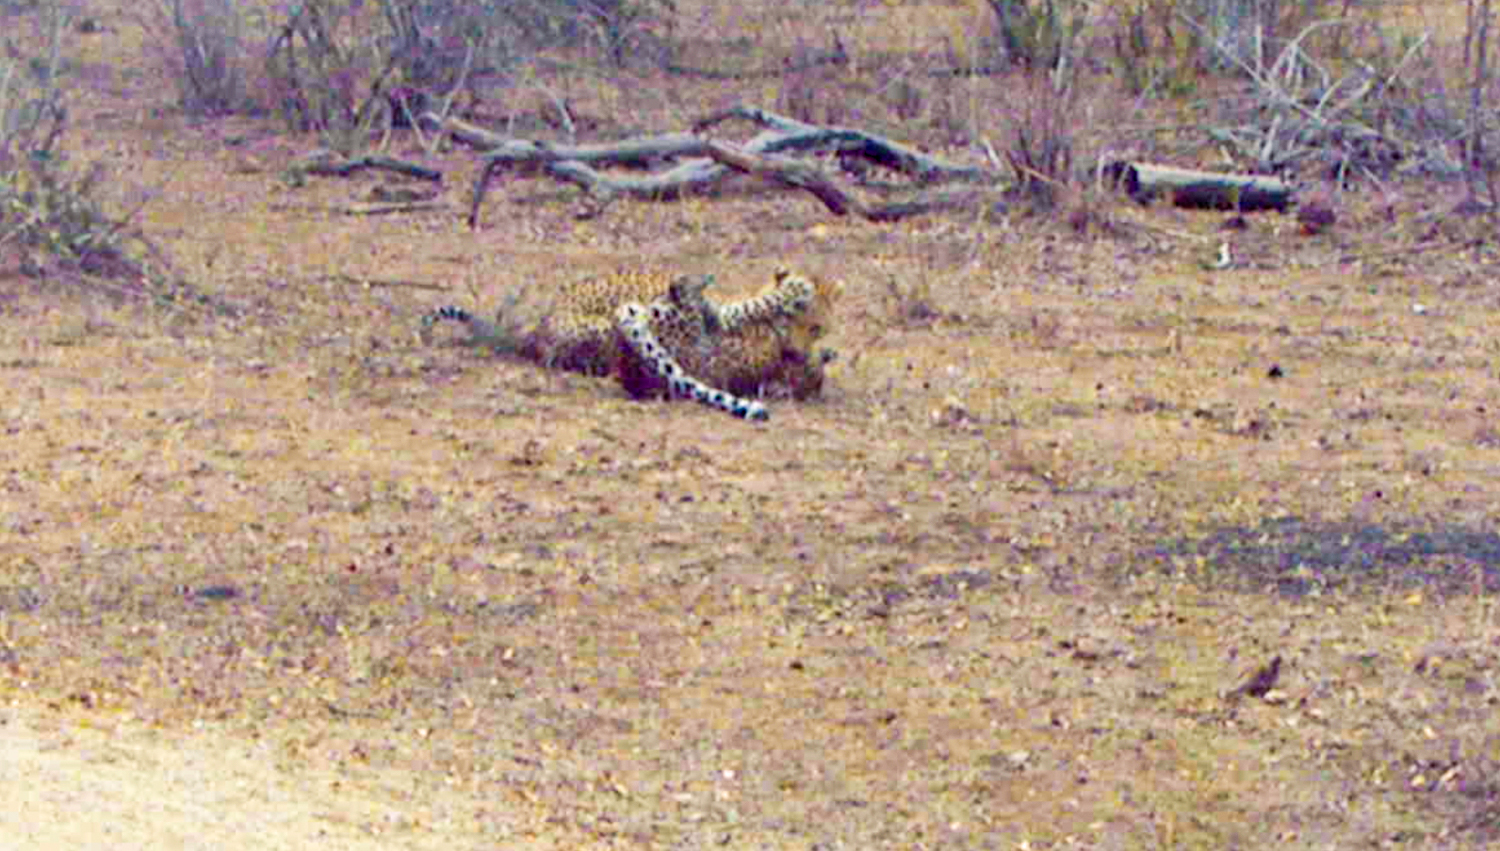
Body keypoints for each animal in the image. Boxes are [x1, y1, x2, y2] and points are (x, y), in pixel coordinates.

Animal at [421, 267, 843, 421]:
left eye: (817, 328)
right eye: (805, 324)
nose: (796, 351)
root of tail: (534, 334)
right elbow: (747, 305)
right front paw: (796, 287)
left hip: (637, 321)